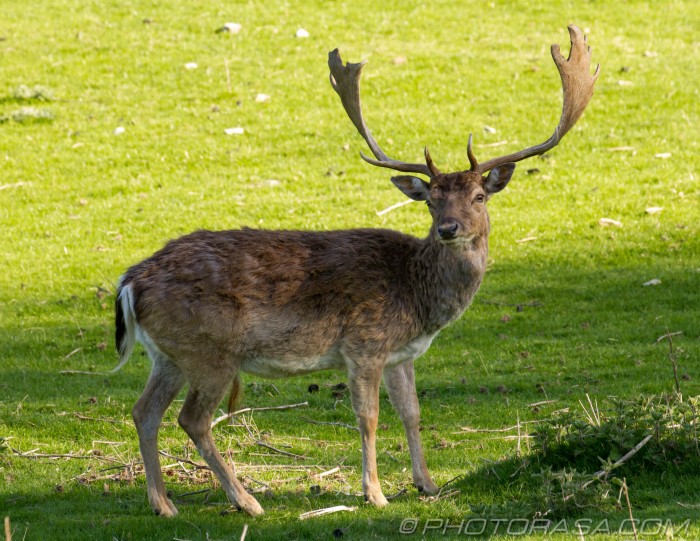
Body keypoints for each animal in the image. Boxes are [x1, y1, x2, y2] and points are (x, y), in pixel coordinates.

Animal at [114, 25, 598, 517]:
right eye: (431, 200)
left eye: (479, 197)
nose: (448, 228)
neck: (418, 297)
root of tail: (129, 282)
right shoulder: (364, 343)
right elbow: (369, 417)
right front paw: (375, 493)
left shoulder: (400, 353)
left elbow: (412, 412)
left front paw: (427, 484)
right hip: (212, 350)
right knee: (192, 419)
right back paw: (246, 501)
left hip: (169, 354)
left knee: (143, 410)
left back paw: (163, 503)